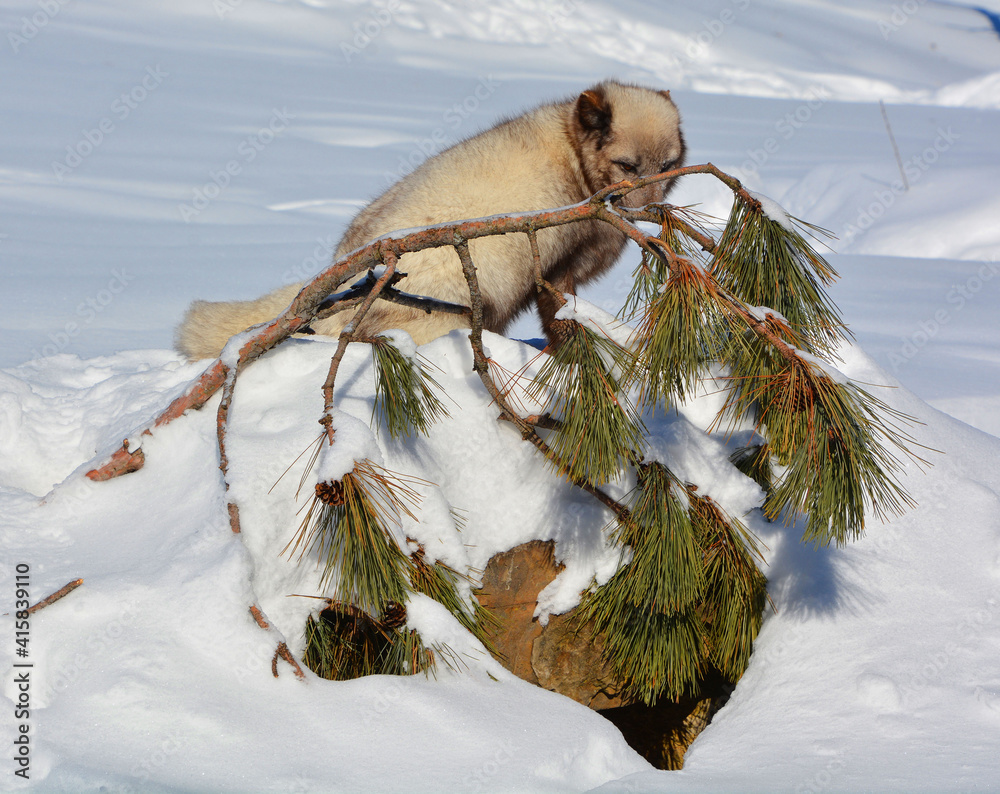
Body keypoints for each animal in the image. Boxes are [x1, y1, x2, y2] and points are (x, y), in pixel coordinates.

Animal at [175, 80, 685, 360]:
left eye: (667, 166)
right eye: (626, 165)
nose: (647, 211)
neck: (576, 166)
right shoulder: (555, 271)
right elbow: (561, 321)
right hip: (460, 309)